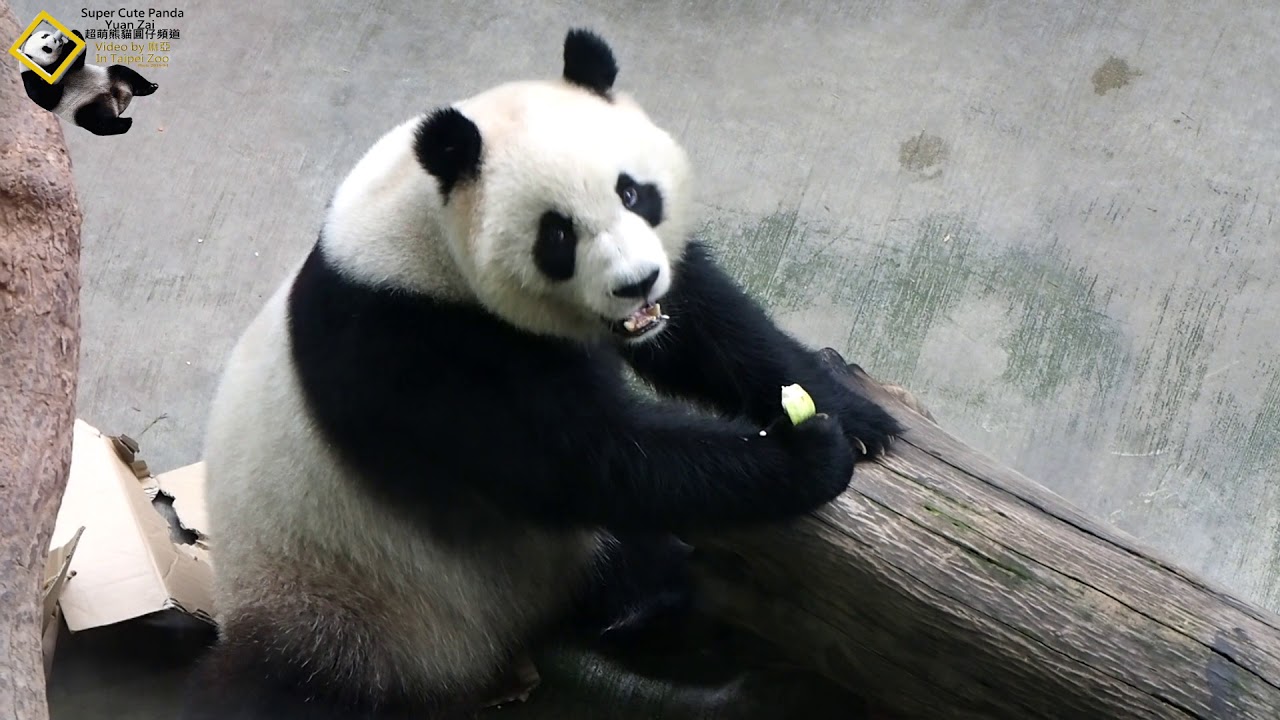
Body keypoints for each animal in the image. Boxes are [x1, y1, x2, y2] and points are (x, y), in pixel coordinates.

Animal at [19, 28, 157, 136]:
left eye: (45, 36)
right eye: (46, 48)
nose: (54, 39)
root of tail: (117, 103)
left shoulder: (73, 66)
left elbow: (77, 59)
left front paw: (73, 36)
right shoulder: (31, 76)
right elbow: (46, 97)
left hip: (110, 76)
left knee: (125, 72)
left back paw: (150, 87)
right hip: (83, 107)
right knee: (98, 122)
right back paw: (125, 123)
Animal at [180, 27, 900, 720]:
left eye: (632, 192)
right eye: (557, 235)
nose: (636, 284)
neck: (420, 232)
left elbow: (706, 324)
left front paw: (856, 415)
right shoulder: (406, 343)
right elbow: (582, 456)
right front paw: (806, 454)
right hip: (344, 606)